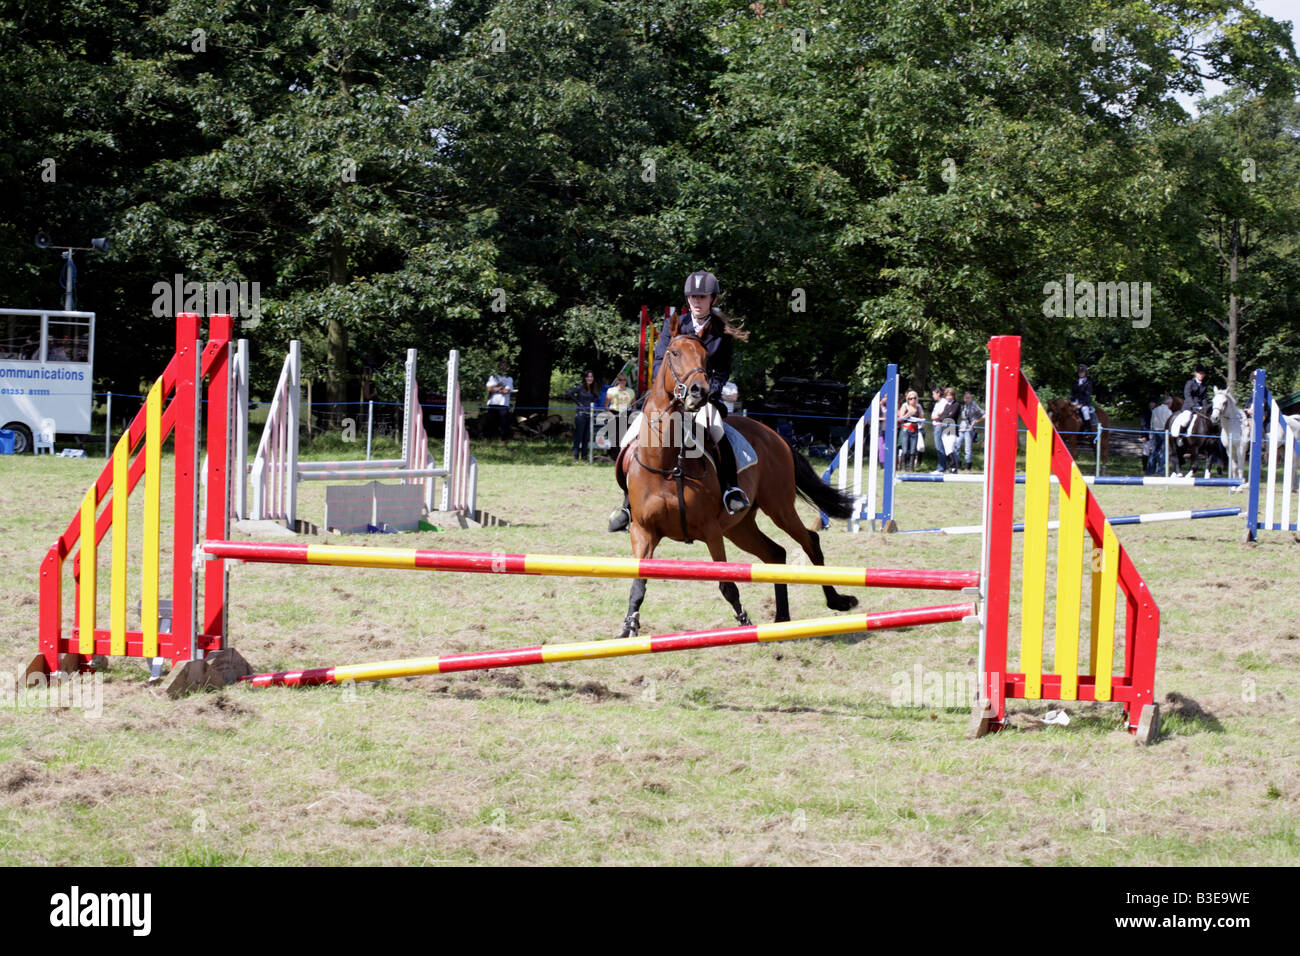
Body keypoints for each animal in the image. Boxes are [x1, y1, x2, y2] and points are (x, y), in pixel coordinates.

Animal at [614, 322, 859, 639]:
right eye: (674, 353)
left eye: (706, 358)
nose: (699, 391)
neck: (666, 464)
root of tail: (775, 435)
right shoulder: (643, 531)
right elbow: (638, 585)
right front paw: (627, 629)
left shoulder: (711, 531)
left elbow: (727, 585)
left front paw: (743, 621)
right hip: (739, 527)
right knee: (776, 553)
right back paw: (781, 618)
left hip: (778, 508)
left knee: (810, 541)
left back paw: (836, 601)